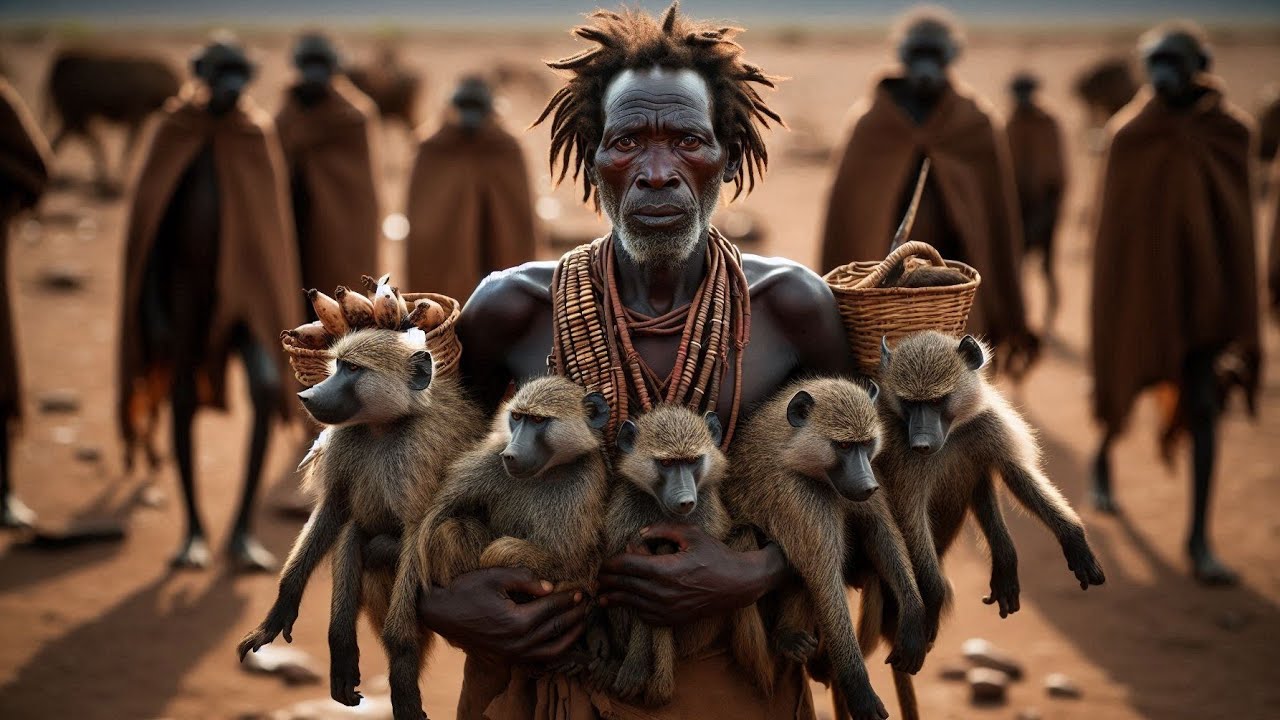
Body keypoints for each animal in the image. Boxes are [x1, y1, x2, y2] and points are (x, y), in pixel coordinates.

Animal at [236, 328, 485, 711]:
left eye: (352, 369)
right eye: (337, 364)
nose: (306, 394)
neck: (384, 426)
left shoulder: (417, 454)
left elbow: (417, 534)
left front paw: (402, 674)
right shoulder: (346, 441)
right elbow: (333, 510)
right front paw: (281, 609)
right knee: (357, 532)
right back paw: (341, 645)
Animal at [382, 375, 612, 720]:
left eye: (539, 421)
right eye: (517, 417)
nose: (512, 454)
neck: (546, 472)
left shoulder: (582, 482)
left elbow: (571, 563)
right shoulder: (488, 461)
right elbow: (428, 522)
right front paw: (402, 669)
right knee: (450, 529)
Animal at [724, 377, 925, 720]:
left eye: (866, 444)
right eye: (843, 446)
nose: (867, 485)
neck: (792, 451)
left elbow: (881, 533)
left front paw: (914, 622)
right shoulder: (800, 500)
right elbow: (824, 579)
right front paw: (859, 690)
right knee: (746, 538)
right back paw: (784, 641)